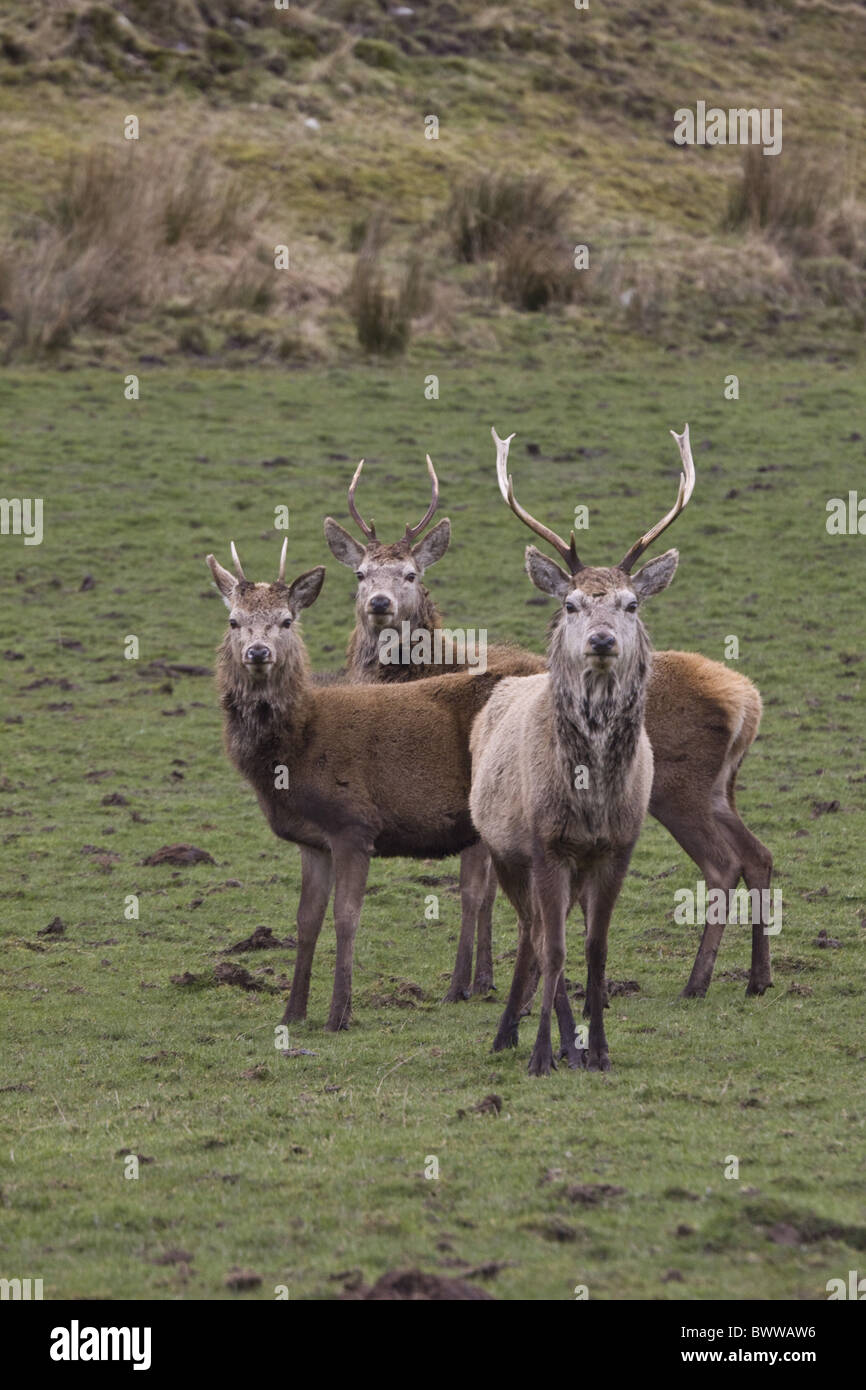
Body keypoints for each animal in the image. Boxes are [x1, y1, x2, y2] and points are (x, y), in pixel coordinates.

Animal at [206, 538, 540, 1031]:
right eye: (233, 621)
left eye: (287, 620)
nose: (259, 652)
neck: (295, 749)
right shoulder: (312, 841)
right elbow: (306, 920)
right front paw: (293, 1011)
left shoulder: (354, 824)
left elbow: (347, 917)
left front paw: (339, 1013)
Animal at [324, 444, 773, 1005]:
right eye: (361, 574)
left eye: (410, 574)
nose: (379, 604)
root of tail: (746, 699)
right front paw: (489, 979)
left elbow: (476, 890)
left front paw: (464, 984)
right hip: (718, 789)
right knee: (758, 855)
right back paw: (757, 977)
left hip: (679, 787)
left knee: (722, 864)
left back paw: (696, 982)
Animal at [470, 427, 695, 1075]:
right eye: (571, 604)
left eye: (631, 604)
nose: (601, 640)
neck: (591, 799)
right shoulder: (546, 843)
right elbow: (559, 949)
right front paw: (544, 1053)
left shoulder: (617, 846)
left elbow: (594, 948)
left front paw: (598, 1050)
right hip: (503, 849)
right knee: (537, 936)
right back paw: (515, 1036)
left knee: (538, 935)